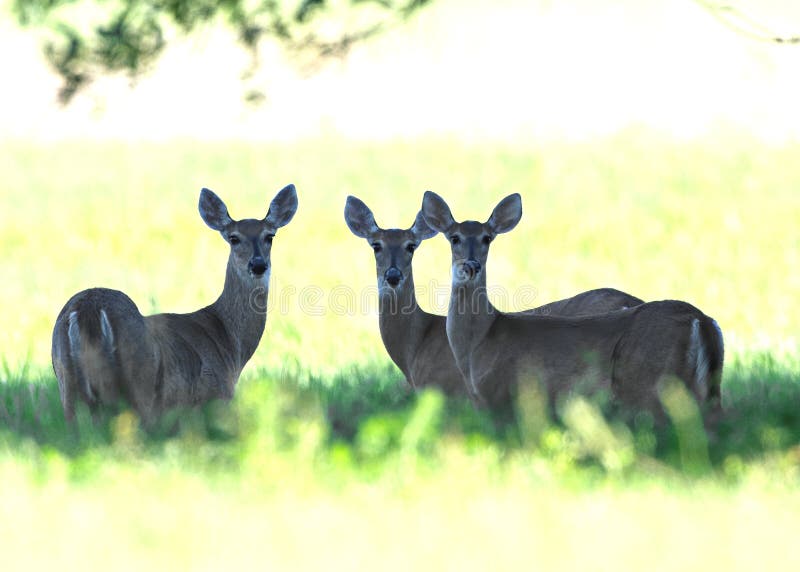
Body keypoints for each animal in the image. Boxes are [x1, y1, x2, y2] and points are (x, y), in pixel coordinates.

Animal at [51, 184, 298, 426]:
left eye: (270, 236)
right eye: (234, 238)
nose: (258, 265)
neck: (229, 342)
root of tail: (88, 310)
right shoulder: (215, 398)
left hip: (66, 382)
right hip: (141, 382)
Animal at [420, 191, 723, 422]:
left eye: (487, 238)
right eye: (454, 237)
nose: (471, 265)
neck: (481, 339)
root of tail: (701, 320)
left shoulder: (502, 396)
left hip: (653, 383)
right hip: (707, 386)